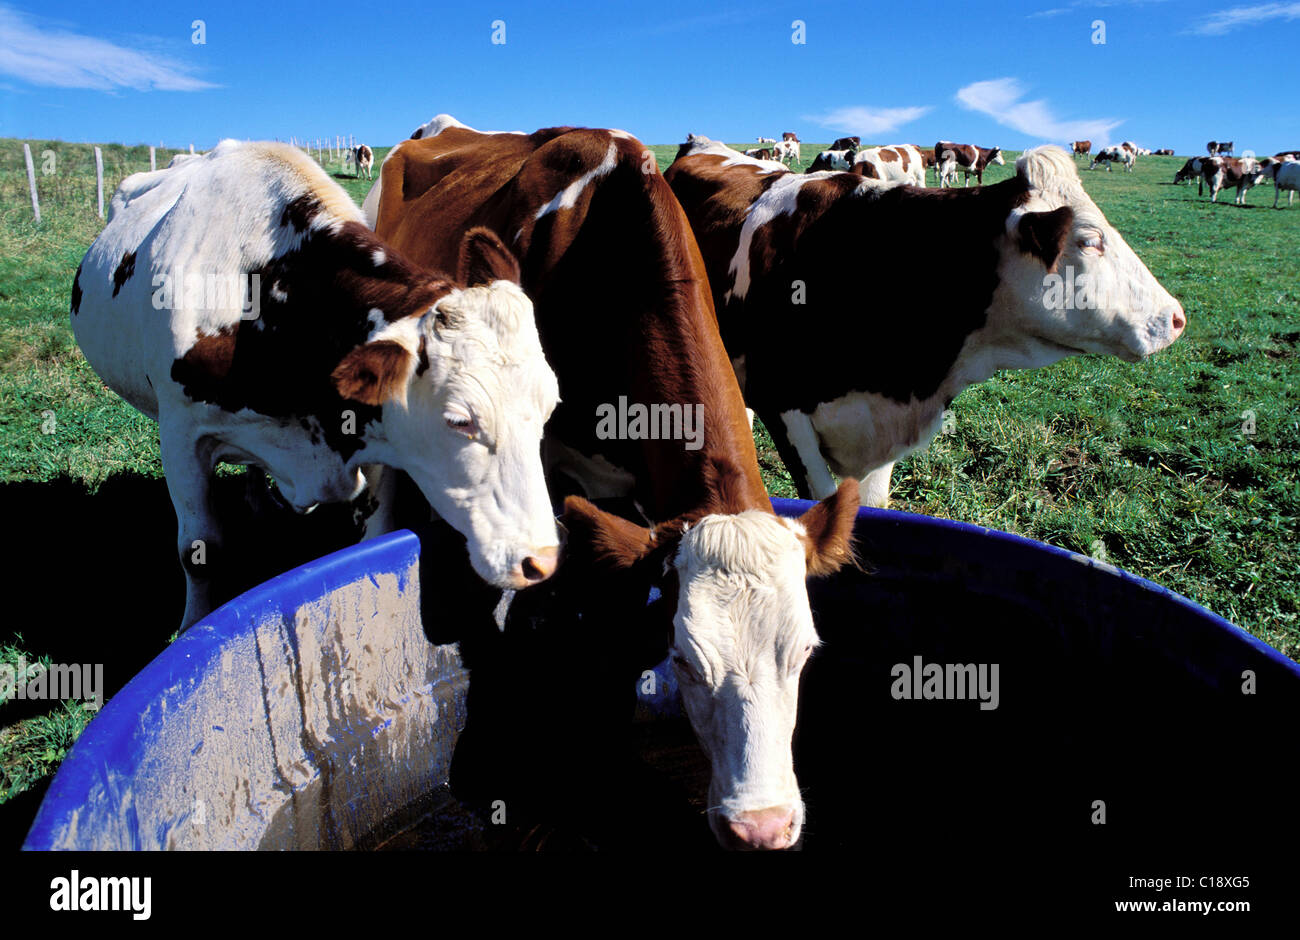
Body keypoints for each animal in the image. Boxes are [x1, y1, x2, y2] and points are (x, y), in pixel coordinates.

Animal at [71, 140, 562, 631]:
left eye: (549, 408)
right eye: (459, 420)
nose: (541, 560)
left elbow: (374, 536)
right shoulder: (180, 436)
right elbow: (201, 552)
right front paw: (192, 625)